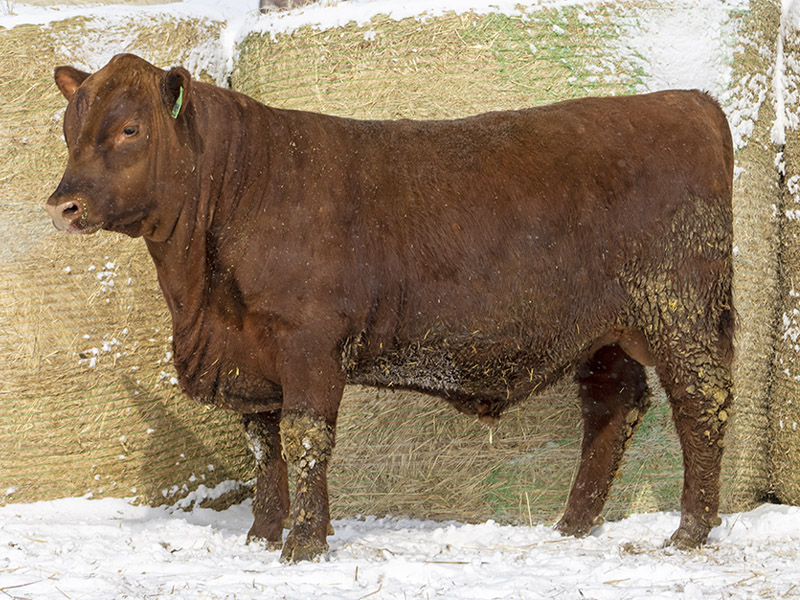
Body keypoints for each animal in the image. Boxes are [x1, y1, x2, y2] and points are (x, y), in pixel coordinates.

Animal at [46, 54, 734, 563]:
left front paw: (303, 545)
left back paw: (688, 533)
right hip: (604, 335)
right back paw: (572, 526)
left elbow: (304, 441)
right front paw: (260, 538)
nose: (63, 205)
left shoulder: (309, 346)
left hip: (683, 315)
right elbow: (264, 446)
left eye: (130, 129)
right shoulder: (250, 357)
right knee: (613, 407)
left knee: (702, 405)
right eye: (68, 130)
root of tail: (691, 101)